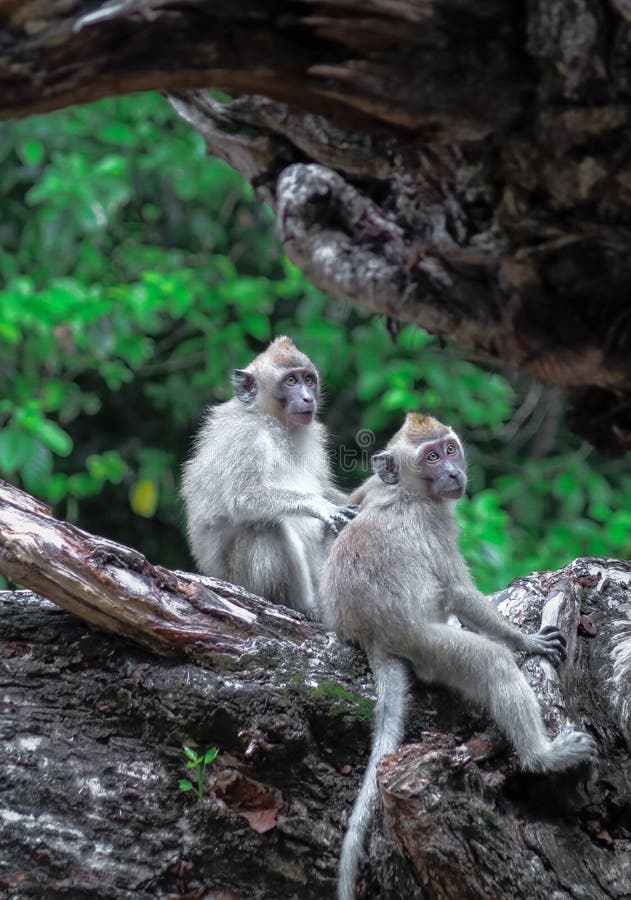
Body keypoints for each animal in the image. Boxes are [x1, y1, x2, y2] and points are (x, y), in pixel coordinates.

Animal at [181, 336, 356, 619]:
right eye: (291, 381)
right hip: (241, 579)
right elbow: (242, 498)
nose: (307, 398)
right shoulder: (246, 437)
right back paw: (300, 608)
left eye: (309, 379)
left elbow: (328, 489)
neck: (274, 422)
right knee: (265, 526)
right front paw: (319, 505)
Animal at [320, 413, 597, 900]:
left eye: (449, 449)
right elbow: (459, 592)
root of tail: (373, 636)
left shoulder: (370, 488)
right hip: (429, 647)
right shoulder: (434, 526)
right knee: (490, 663)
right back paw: (542, 755)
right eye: (430, 457)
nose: (452, 472)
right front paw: (526, 641)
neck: (408, 492)